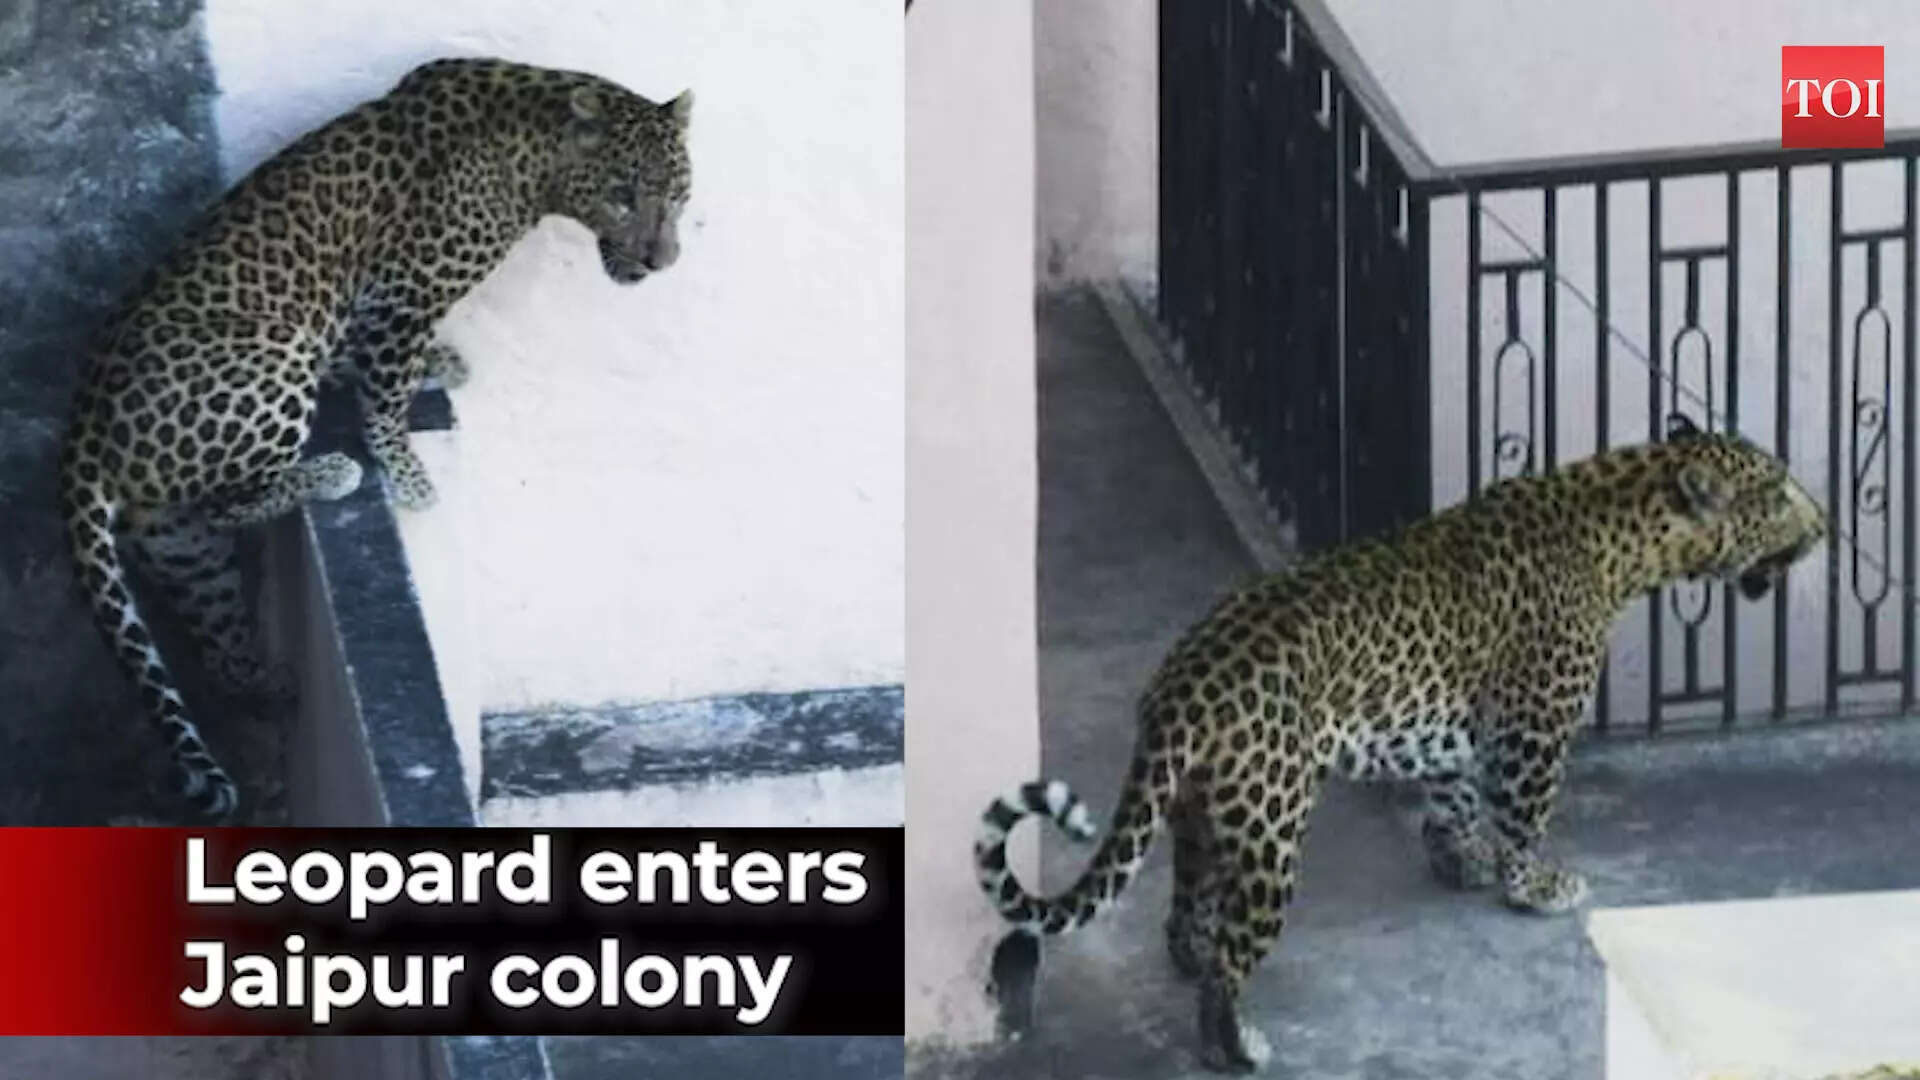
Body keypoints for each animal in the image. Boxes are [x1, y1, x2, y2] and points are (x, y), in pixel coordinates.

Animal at [58, 57, 693, 820]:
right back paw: (330, 473)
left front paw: (435, 366)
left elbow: (363, 357)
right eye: (625, 196)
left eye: (679, 195)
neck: (533, 153)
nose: (662, 260)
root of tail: (86, 426)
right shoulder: (404, 294)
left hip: (176, 546)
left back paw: (271, 684)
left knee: (217, 630)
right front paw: (409, 473)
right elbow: (385, 391)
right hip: (273, 356)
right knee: (228, 499)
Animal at [974, 417, 1827, 1073]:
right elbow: (1525, 812)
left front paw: (1462, 856)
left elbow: (1453, 790)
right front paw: (1533, 885)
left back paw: (1193, 952)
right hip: (1274, 829)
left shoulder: (1452, 727)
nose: (1823, 524)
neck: (1628, 536)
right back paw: (1237, 1046)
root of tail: (1180, 684)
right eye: (1779, 491)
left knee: (1186, 911)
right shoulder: (1535, 725)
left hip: (1201, 810)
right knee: (1230, 961)